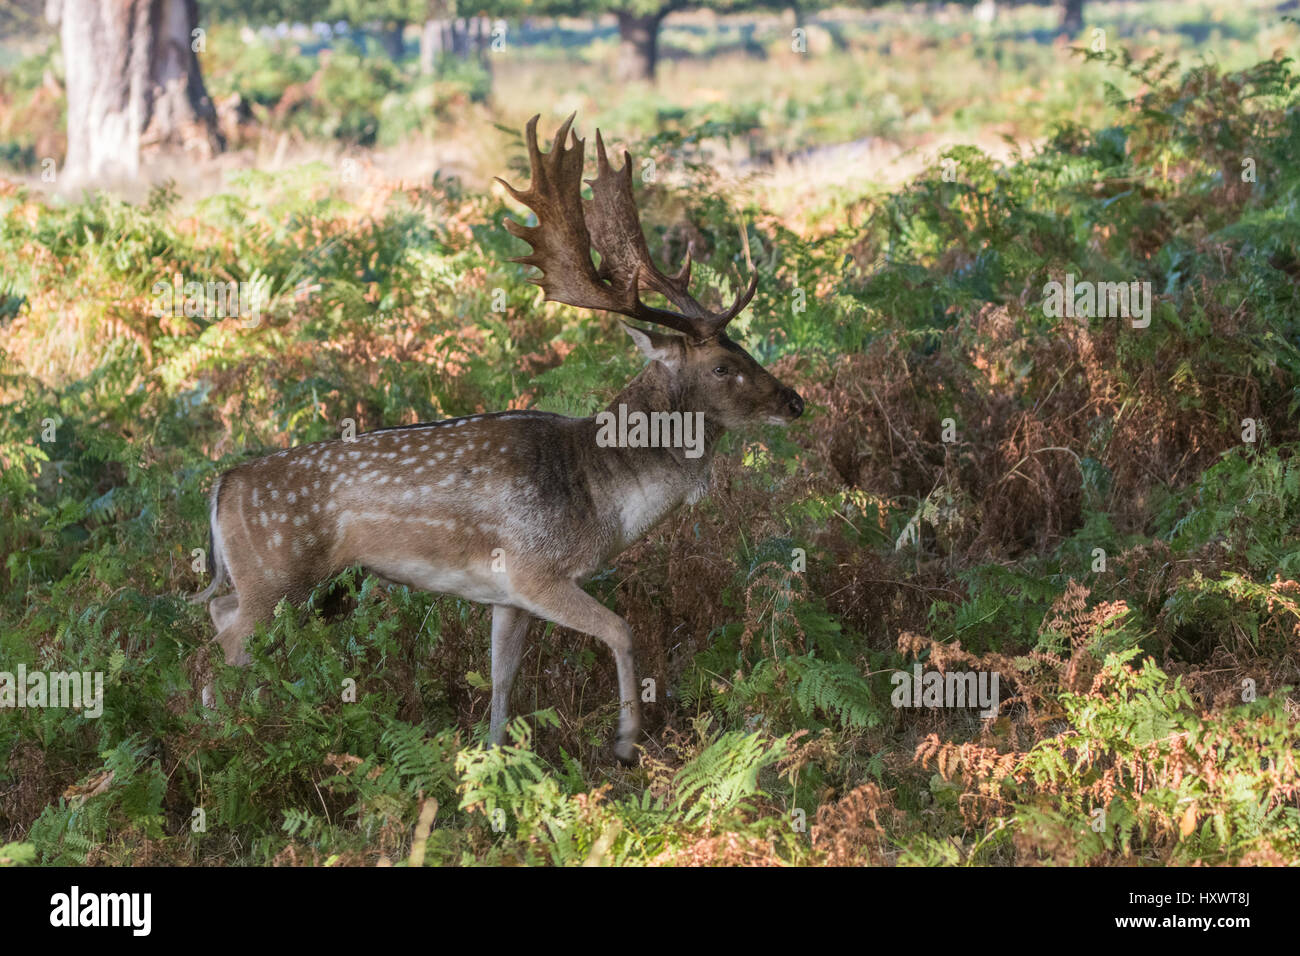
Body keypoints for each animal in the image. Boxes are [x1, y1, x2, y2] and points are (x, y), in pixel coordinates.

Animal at [190, 114, 804, 764]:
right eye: (721, 366)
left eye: (745, 348)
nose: (794, 401)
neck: (602, 500)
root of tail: (222, 484)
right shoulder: (538, 569)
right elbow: (622, 629)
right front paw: (625, 742)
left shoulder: (508, 595)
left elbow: (502, 675)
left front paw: (493, 758)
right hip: (276, 573)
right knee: (216, 653)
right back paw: (225, 740)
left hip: (286, 582)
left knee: (219, 615)